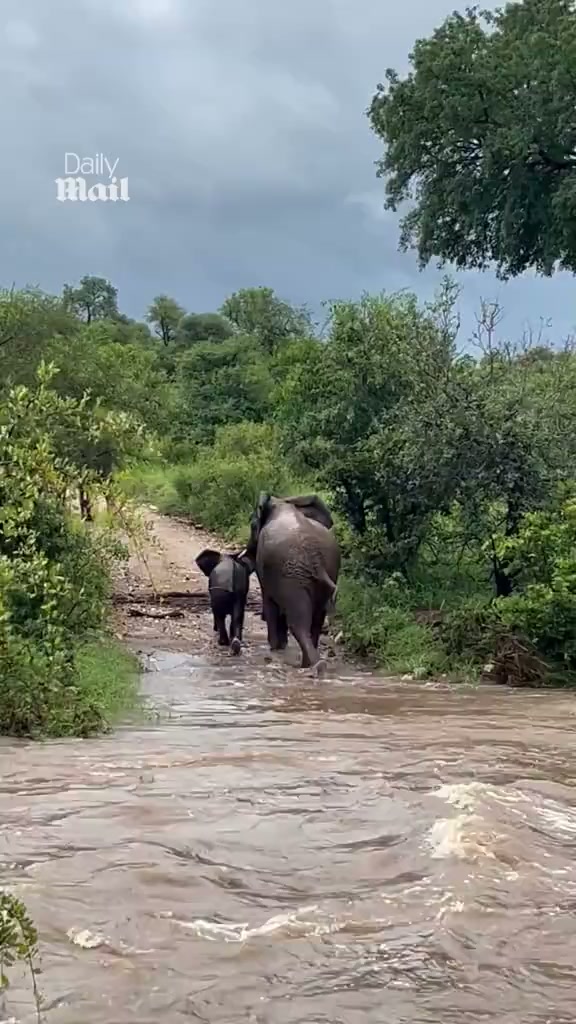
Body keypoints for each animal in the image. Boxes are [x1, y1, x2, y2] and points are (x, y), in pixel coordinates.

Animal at [242, 492, 340, 672]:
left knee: (298, 623)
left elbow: (269, 599)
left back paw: (312, 665)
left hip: (294, 577)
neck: (284, 502)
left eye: (252, 524)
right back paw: (314, 663)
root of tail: (316, 559)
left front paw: (275, 647)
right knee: (316, 620)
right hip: (325, 570)